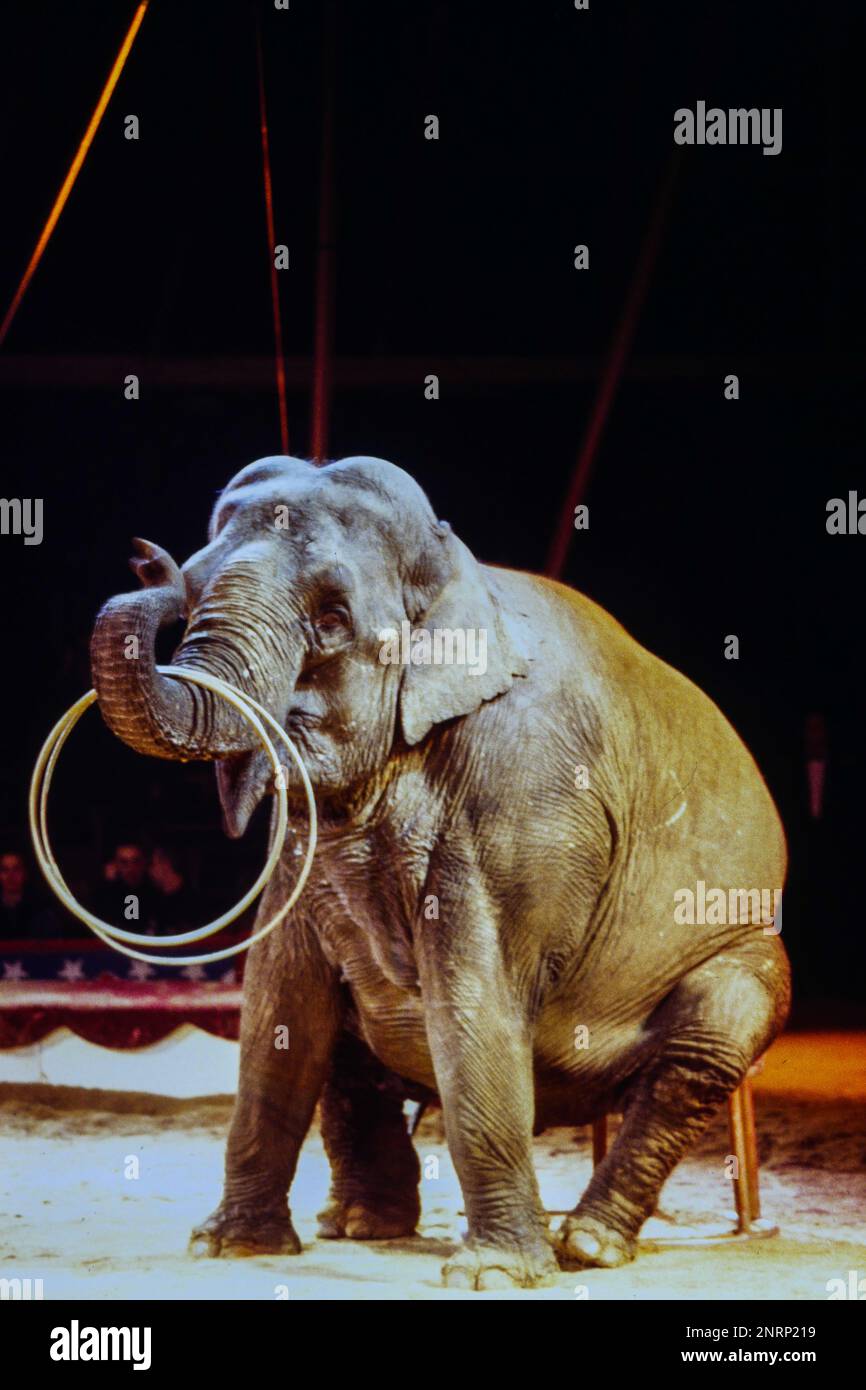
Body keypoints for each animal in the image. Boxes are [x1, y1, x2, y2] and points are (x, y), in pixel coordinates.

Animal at [90, 454, 790, 1289]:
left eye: (333, 618)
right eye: (193, 588)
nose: (145, 558)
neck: (459, 570)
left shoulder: (530, 793)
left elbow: (473, 991)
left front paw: (494, 1275)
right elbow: (279, 1002)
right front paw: (230, 1248)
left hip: (744, 946)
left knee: (709, 1039)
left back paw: (588, 1244)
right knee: (346, 1036)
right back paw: (364, 1226)